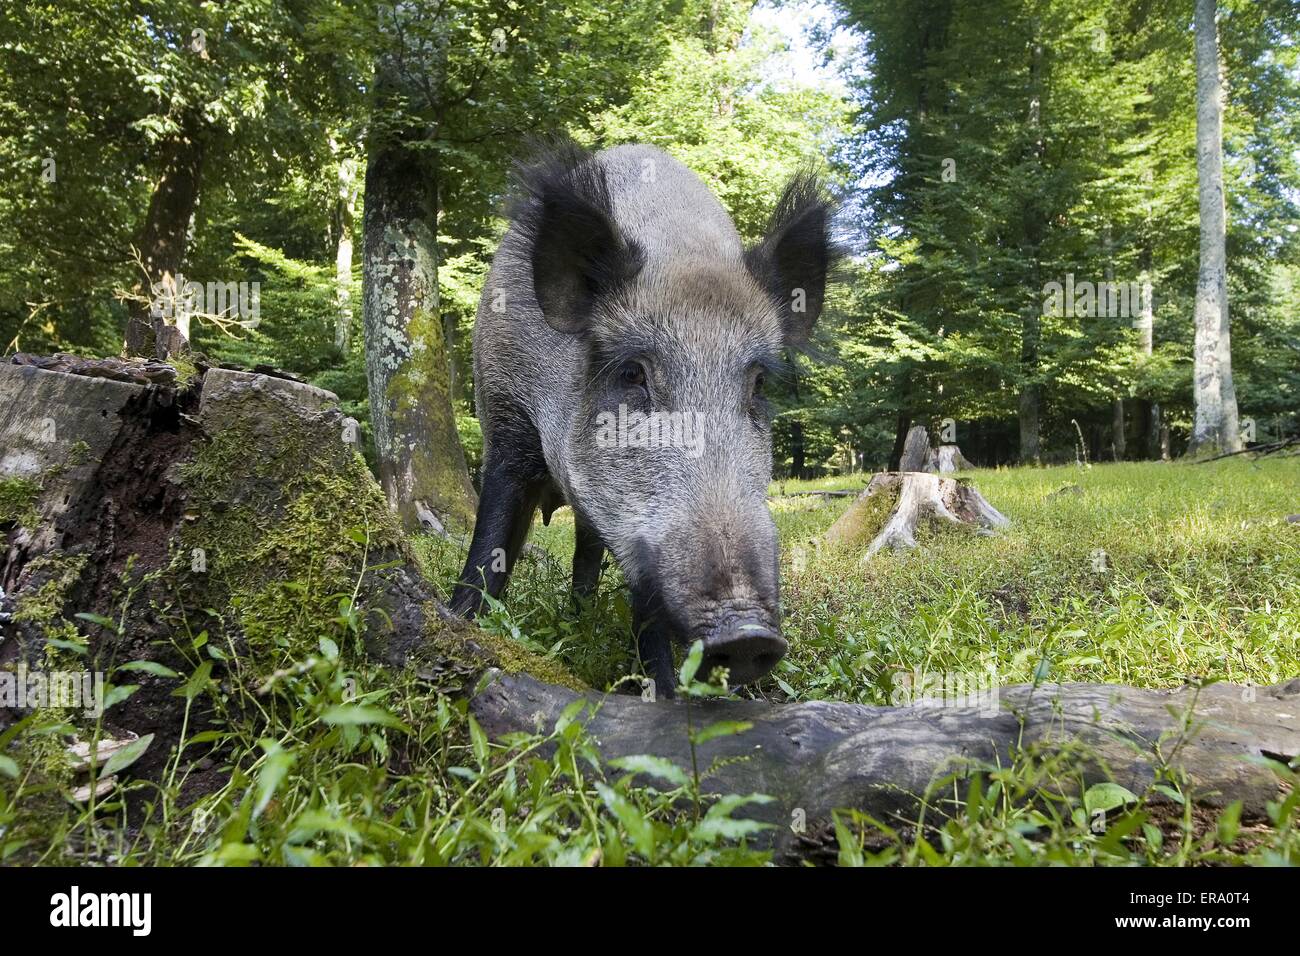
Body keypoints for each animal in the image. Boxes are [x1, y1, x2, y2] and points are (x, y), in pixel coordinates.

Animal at [449, 139, 835, 696]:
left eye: (758, 383)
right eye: (633, 372)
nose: (748, 636)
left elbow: (645, 610)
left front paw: (666, 695)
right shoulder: (507, 421)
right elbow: (489, 547)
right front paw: (459, 625)